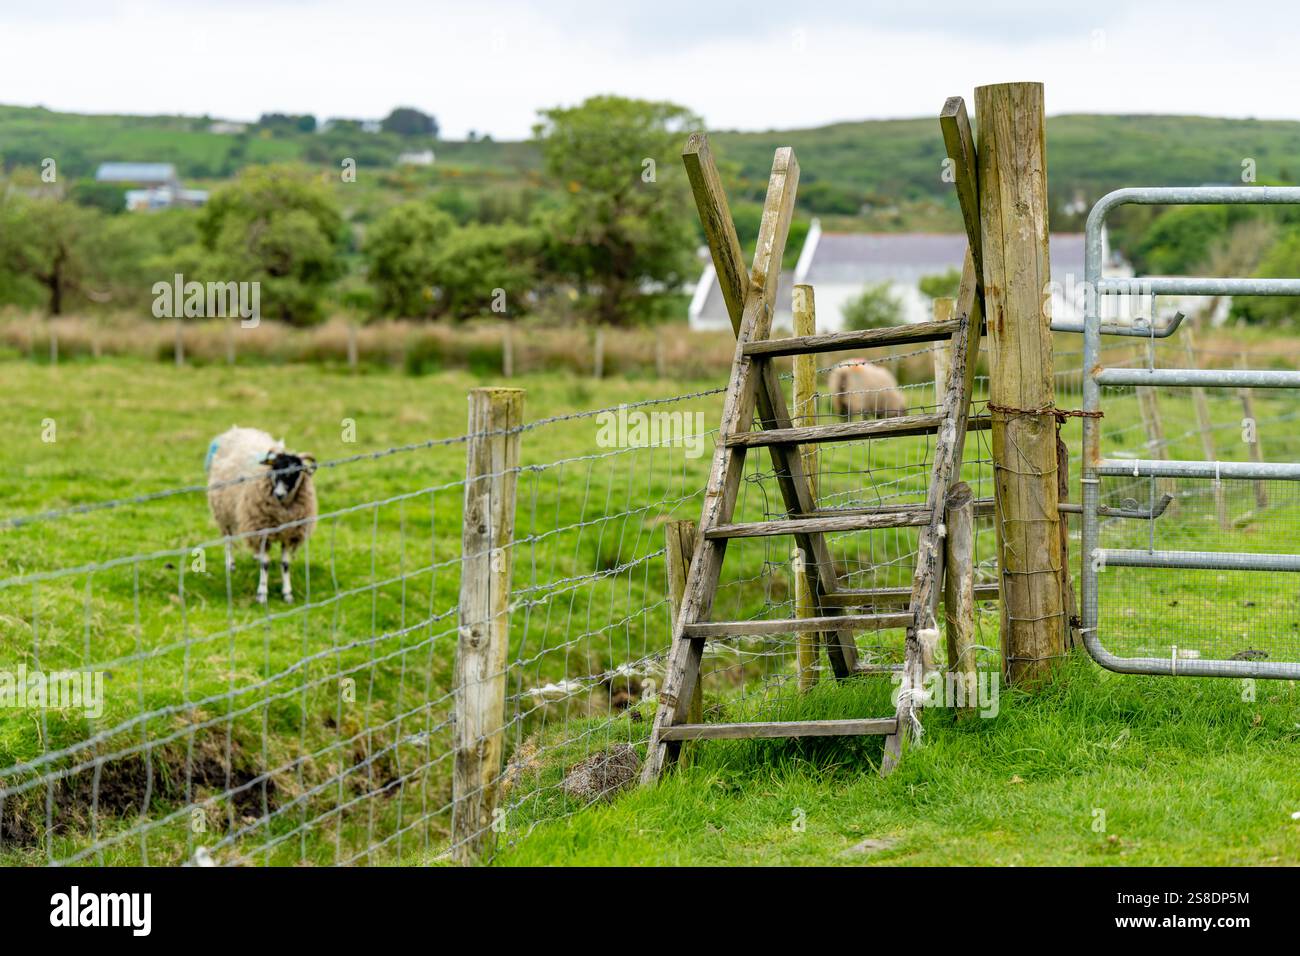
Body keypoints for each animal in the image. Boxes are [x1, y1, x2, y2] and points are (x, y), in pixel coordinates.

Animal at [206, 426, 317, 604]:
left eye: (295, 472)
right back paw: (230, 564)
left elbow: (285, 564)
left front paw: (287, 593)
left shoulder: (289, 533)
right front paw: (262, 594)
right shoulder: (262, 529)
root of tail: (236, 429)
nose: (278, 494)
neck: (283, 510)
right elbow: (265, 564)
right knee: (228, 540)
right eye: (275, 468)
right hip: (223, 512)